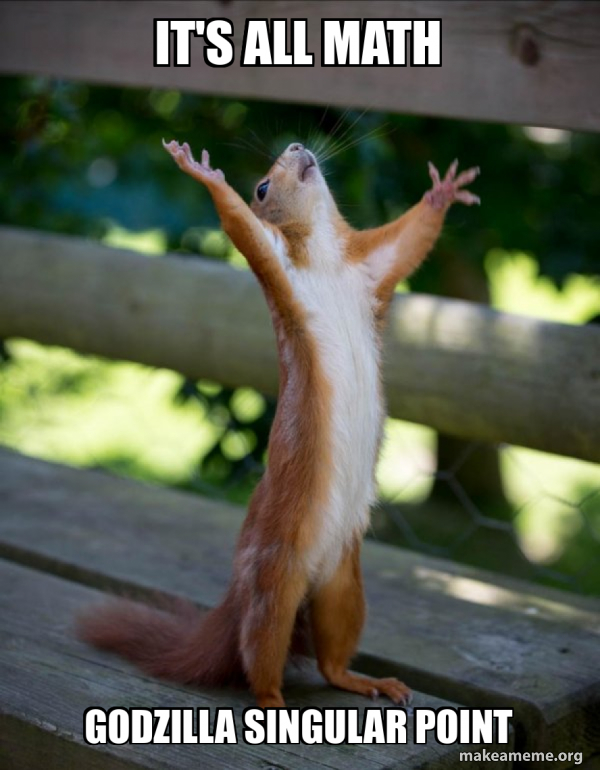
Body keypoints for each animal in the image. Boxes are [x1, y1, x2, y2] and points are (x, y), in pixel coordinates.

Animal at [78, 139, 479, 709]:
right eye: (262, 187)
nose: (296, 146)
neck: (327, 258)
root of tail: (238, 595)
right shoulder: (277, 264)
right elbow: (240, 225)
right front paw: (204, 173)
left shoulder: (372, 267)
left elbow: (410, 240)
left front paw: (442, 192)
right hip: (274, 582)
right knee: (258, 655)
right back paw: (274, 701)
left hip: (344, 586)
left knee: (332, 659)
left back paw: (366, 680)